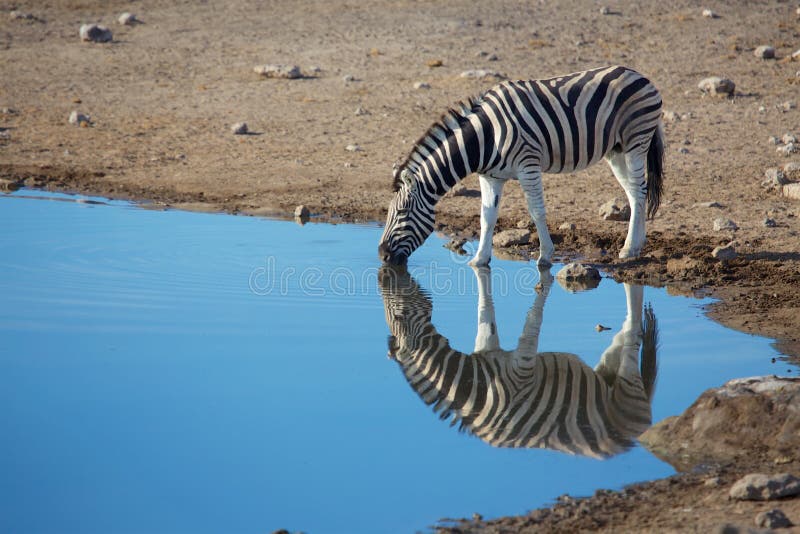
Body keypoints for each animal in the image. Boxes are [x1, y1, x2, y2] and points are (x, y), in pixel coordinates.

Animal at [378, 65, 664, 268]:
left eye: (402, 212)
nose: (382, 255)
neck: (485, 138)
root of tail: (639, 75)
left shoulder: (528, 166)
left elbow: (537, 211)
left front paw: (545, 256)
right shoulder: (490, 177)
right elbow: (487, 217)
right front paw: (480, 260)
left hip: (636, 142)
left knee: (639, 190)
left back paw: (629, 249)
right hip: (616, 151)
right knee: (633, 194)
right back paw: (635, 246)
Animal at [379, 265, 658, 458]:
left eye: (399, 315)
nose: (385, 269)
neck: (477, 389)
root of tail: (630, 440)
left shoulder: (522, 367)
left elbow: (531, 324)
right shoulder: (488, 349)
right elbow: (486, 314)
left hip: (628, 388)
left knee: (631, 345)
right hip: (606, 376)